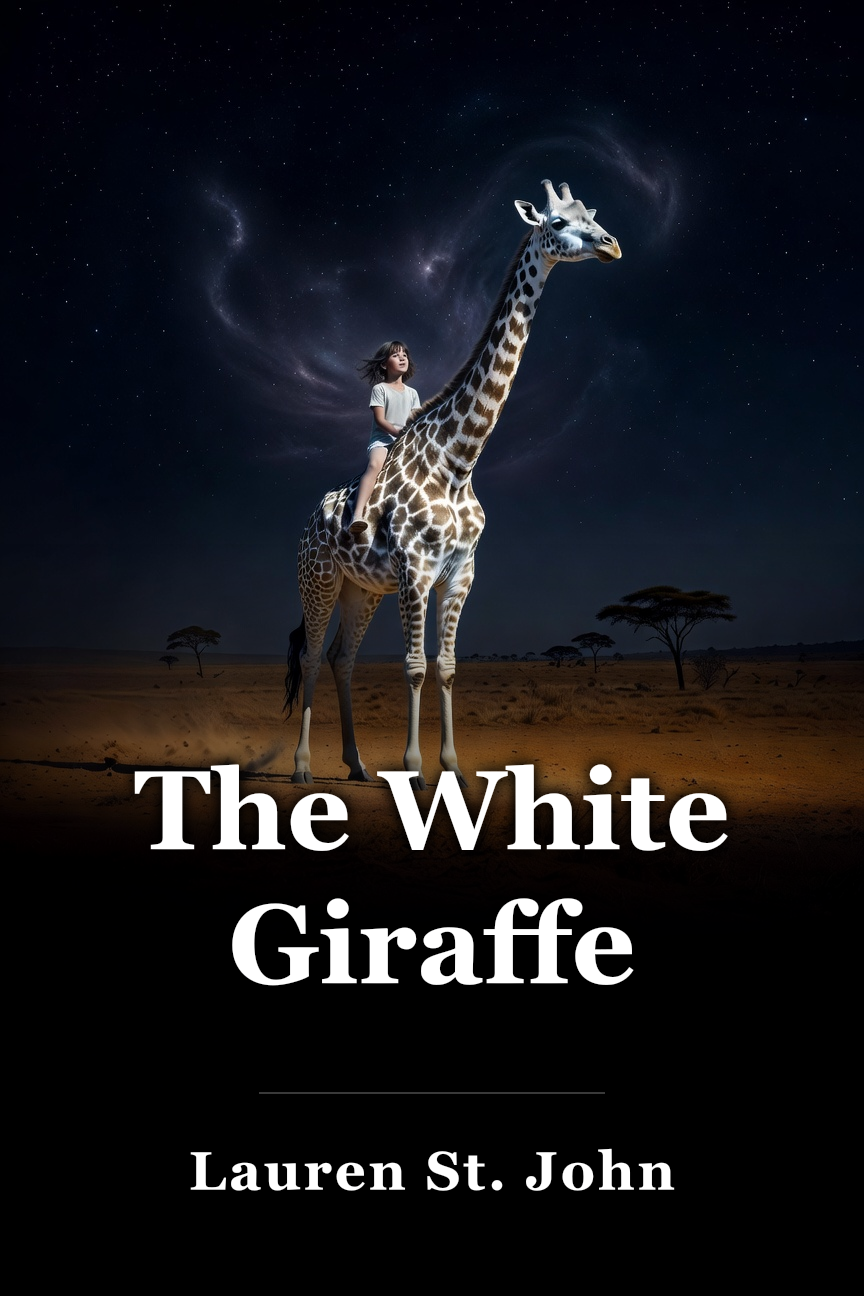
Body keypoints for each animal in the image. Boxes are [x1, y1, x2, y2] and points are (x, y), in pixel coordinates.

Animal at [285, 180, 622, 788]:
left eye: (592, 213)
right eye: (558, 223)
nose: (612, 245)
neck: (458, 462)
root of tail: (308, 522)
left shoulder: (461, 572)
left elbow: (446, 667)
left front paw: (452, 768)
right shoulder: (415, 571)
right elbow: (415, 667)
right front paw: (415, 769)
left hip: (360, 590)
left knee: (341, 658)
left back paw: (357, 765)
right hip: (317, 579)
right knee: (310, 656)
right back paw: (301, 768)